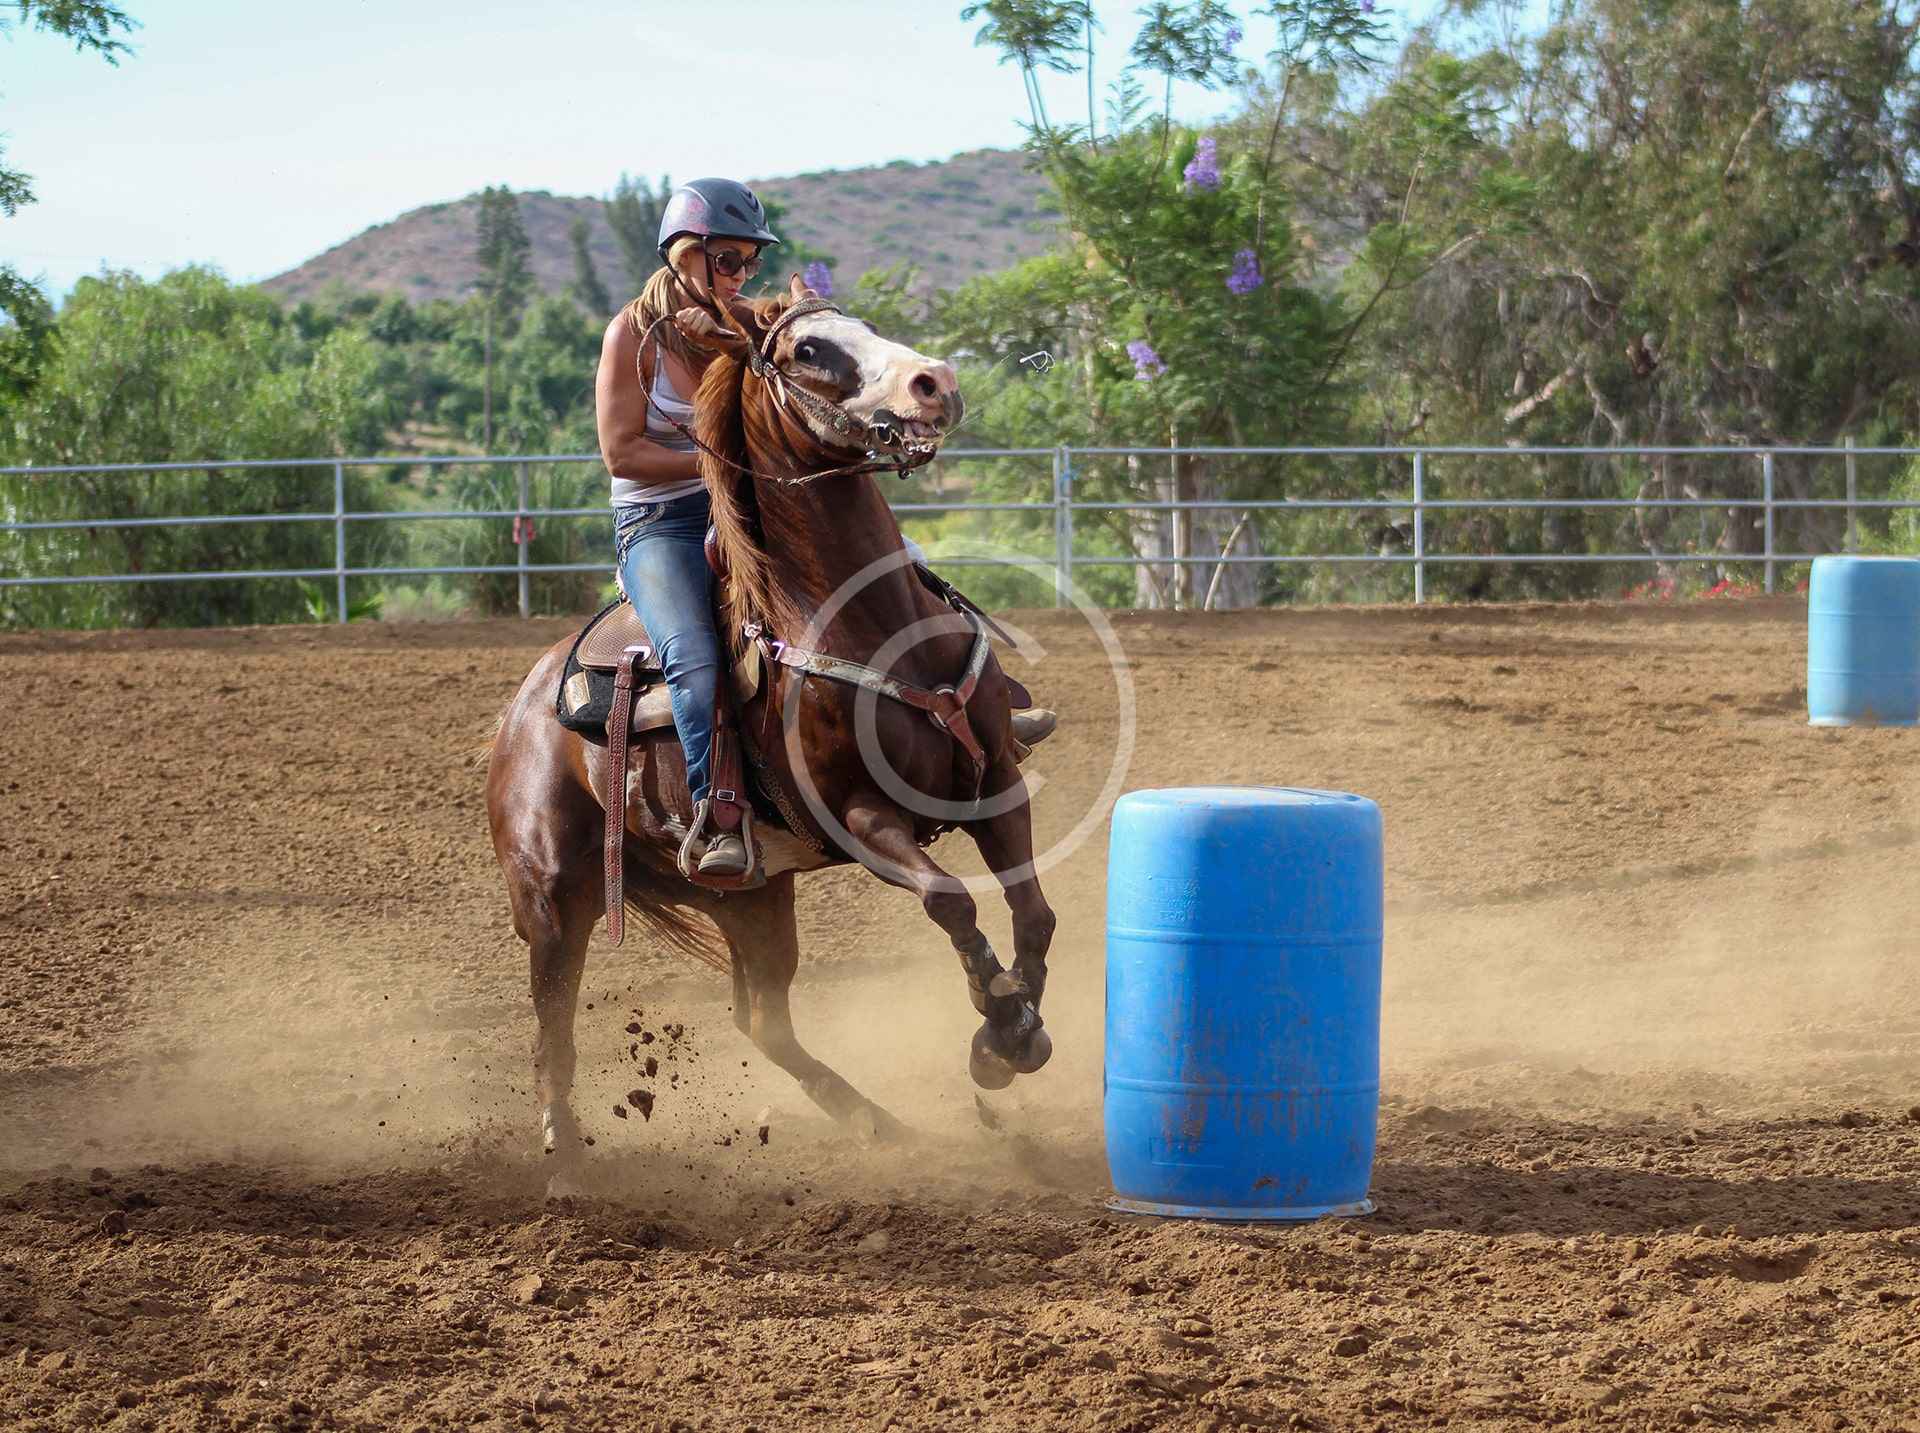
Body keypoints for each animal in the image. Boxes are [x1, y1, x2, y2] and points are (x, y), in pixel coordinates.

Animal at [484, 289, 1056, 1179]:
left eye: (864, 326)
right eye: (807, 352)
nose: (936, 381)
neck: (870, 622)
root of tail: (519, 715)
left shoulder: (996, 778)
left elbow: (1033, 910)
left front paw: (1017, 1029)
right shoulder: (862, 818)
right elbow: (951, 899)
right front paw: (998, 1028)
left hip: (750, 897)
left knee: (764, 1020)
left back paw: (878, 1122)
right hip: (552, 894)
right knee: (553, 1020)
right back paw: (565, 1154)